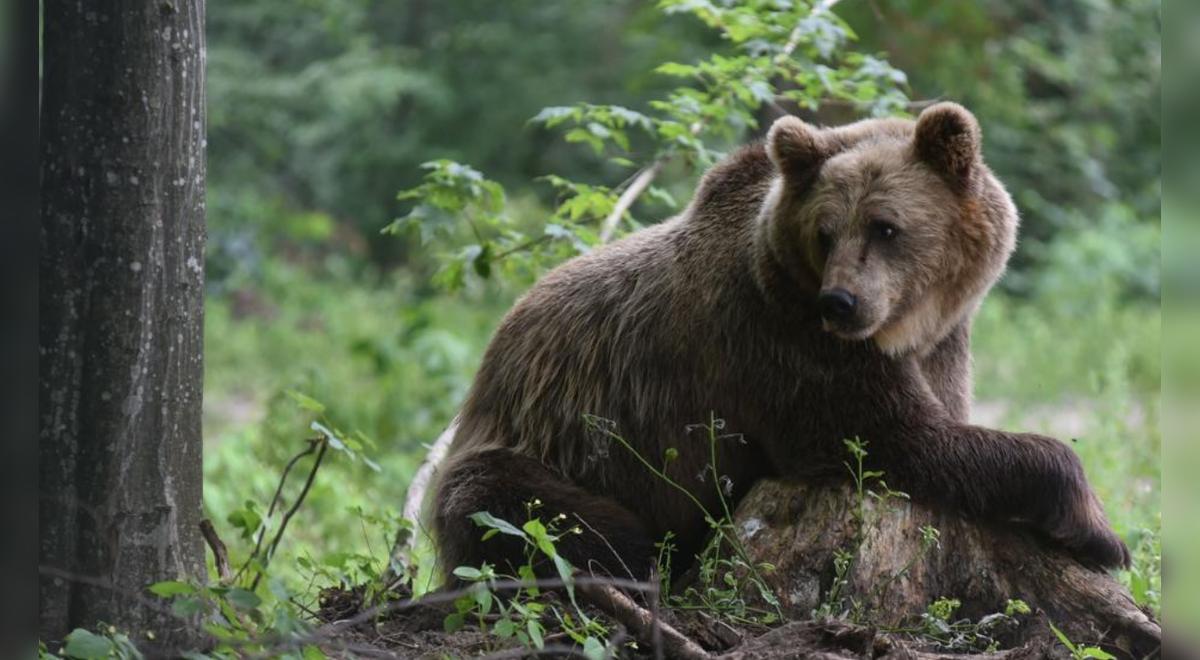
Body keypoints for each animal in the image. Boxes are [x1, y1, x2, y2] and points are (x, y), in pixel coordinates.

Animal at [432, 102, 1129, 584]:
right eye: (826, 231)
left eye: (885, 226)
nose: (839, 302)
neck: (903, 328)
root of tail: (488, 366)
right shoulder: (782, 345)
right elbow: (896, 441)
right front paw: (1100, 532)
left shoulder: (940, 345)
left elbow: (934, 423)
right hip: (537, 445)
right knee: (528, 513)